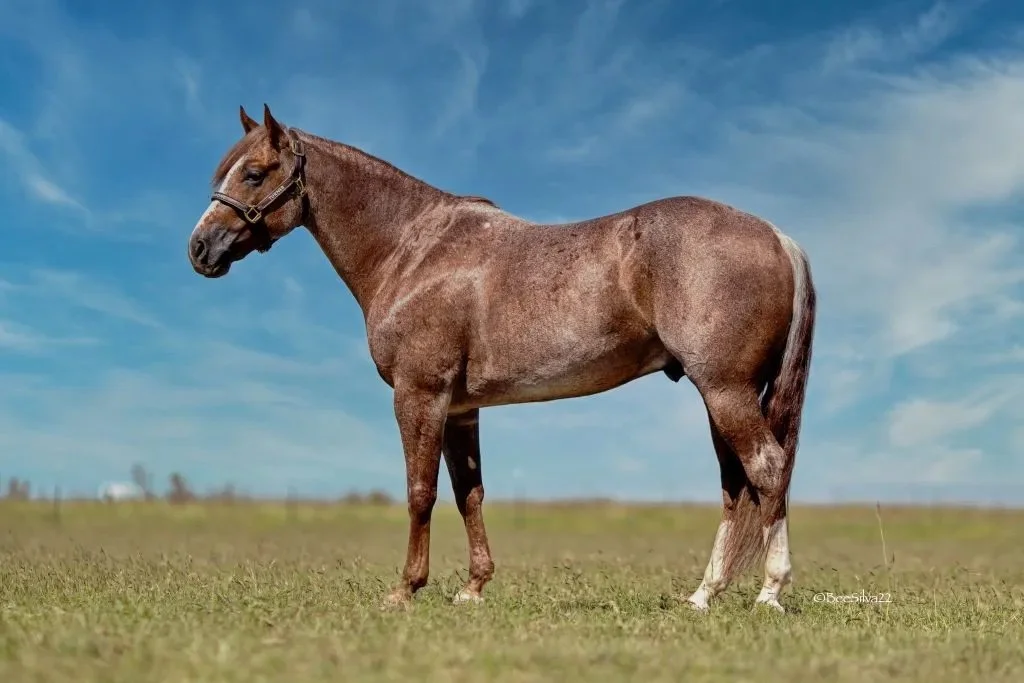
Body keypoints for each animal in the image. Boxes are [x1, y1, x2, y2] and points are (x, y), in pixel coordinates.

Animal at [187, 104, 816, 613]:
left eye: (253, 172)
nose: (199, 249)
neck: (412, 250)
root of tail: (777, 237)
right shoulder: (460, 409)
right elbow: (469, 493)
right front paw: (473, 588)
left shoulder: (419, 395)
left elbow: (420, 492)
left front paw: (405, 590)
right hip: (721, 396)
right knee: (737, 485)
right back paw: (704, 595)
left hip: (726, 390)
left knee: (767, 470)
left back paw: (769, 592)